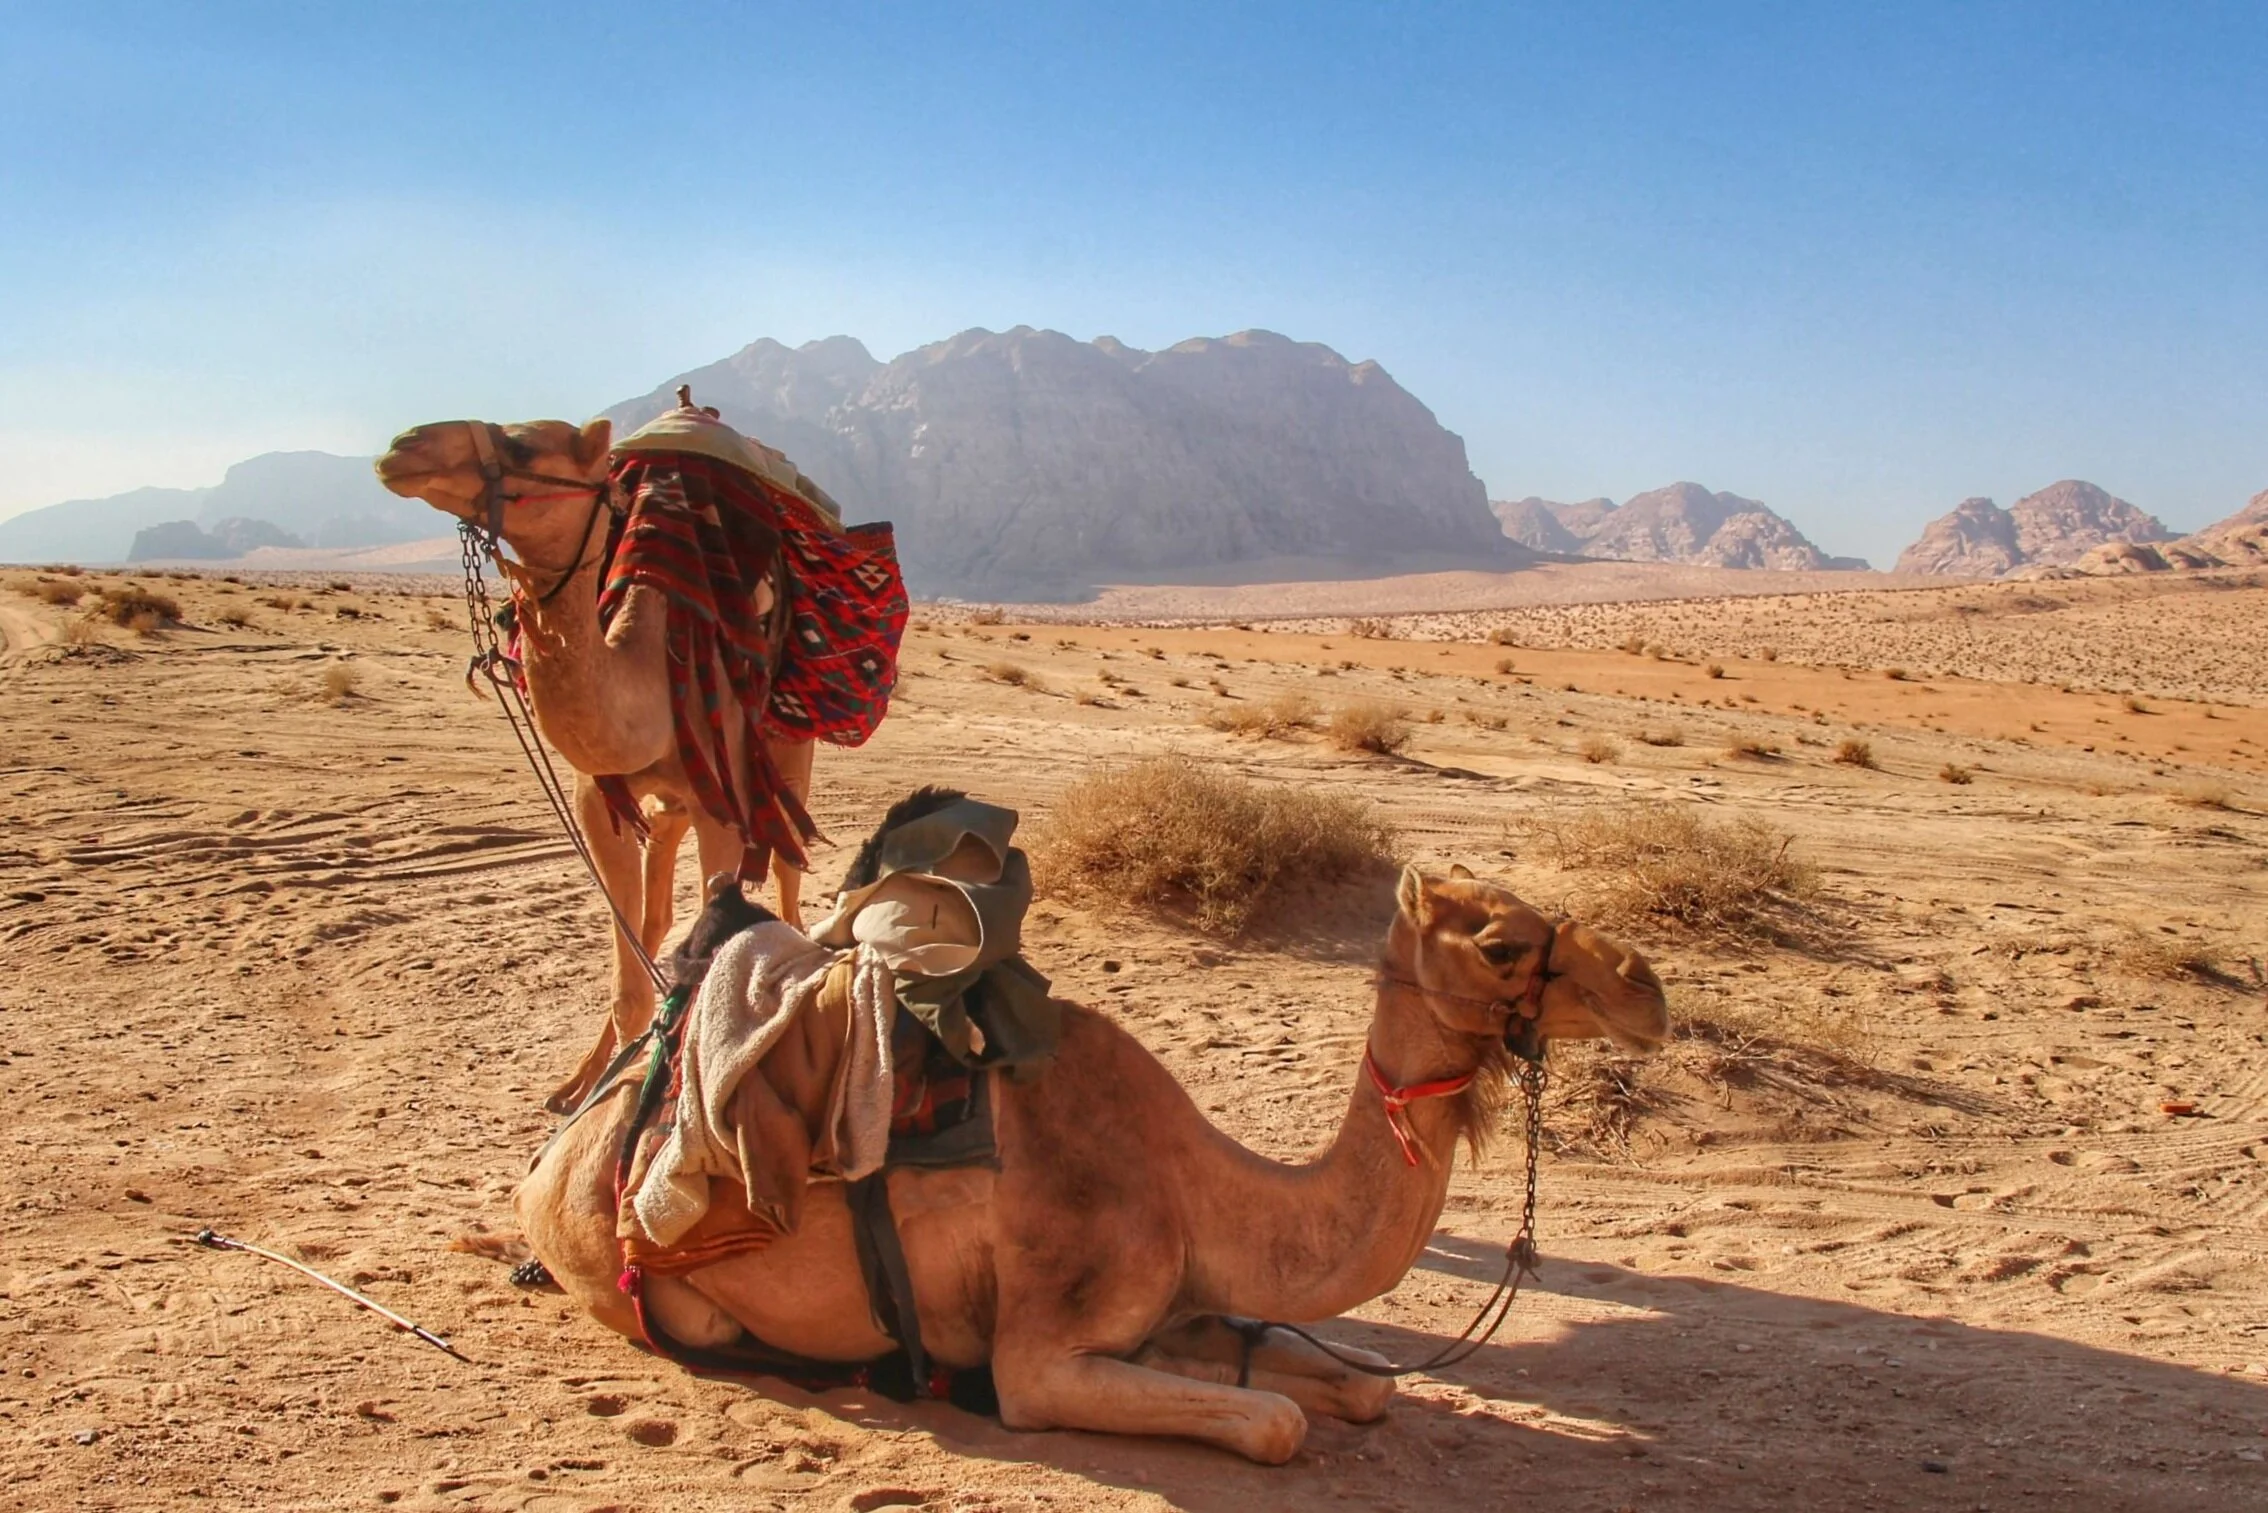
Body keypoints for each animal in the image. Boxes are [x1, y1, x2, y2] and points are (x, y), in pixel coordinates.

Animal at [374, 416, 819, 1113]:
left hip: (786, 754)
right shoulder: (599, 799)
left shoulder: (719, 806)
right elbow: (629, 971)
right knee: (654, 916)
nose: (406, 446)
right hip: (667, 809)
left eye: (524, 444)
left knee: (786, 867)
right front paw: (589, 1088)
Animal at [517, 861, 1670, 1462]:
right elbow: (1278, 1420)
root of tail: (543, 1168)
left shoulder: (1185, 1298)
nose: (1646, 986)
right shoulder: (1047, 1349)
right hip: (656, 1286)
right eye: (1499, 946)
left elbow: (1357, 1386)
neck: (1191, 1188)